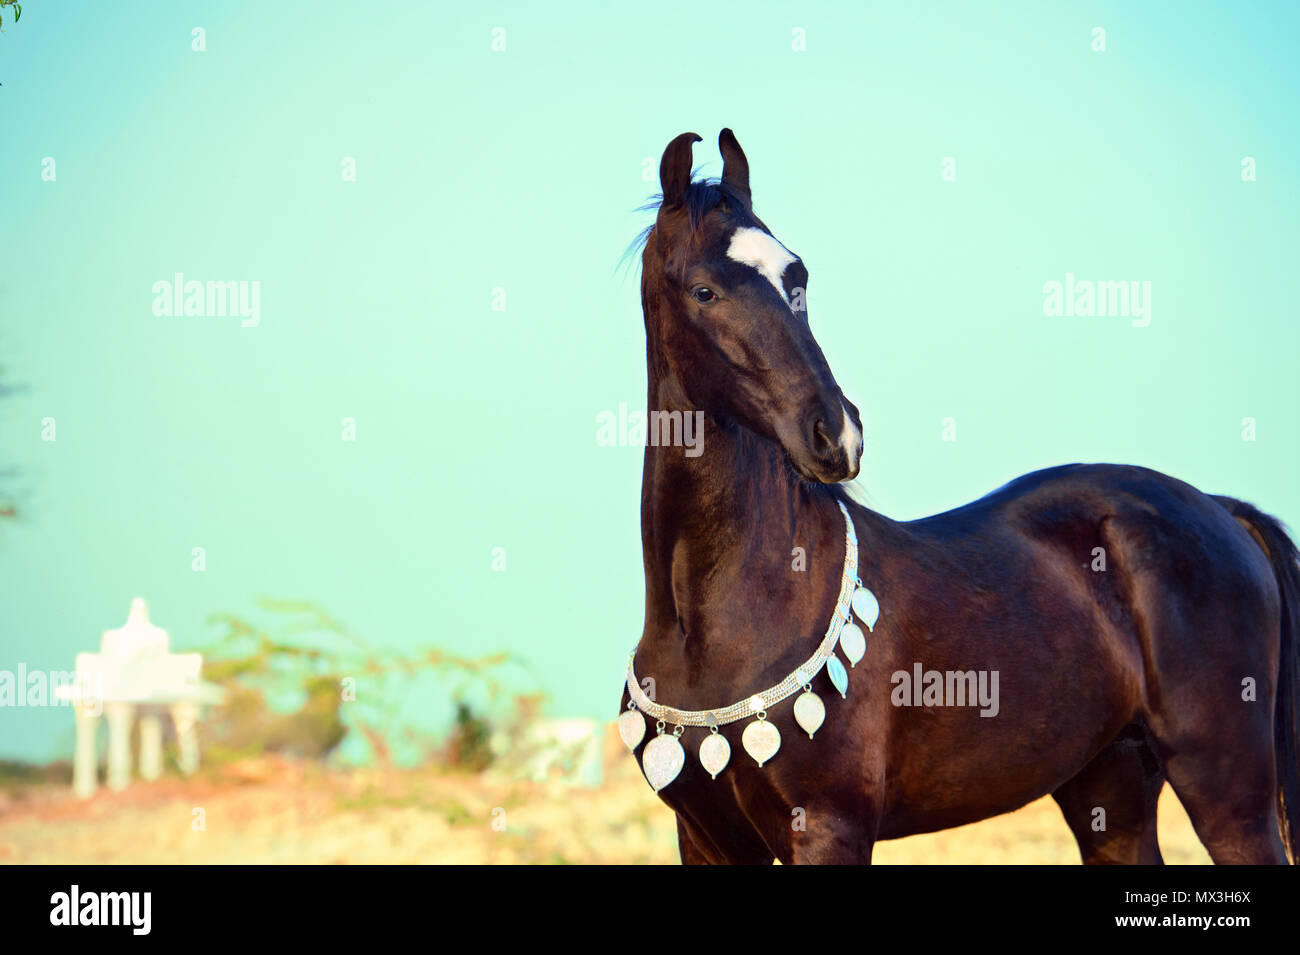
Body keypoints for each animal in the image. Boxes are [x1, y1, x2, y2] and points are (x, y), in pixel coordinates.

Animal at [619, 129, 1300, 865]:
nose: (836, 432)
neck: (715, 625)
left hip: (1228, 794)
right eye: (704, 290)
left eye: (796, 277)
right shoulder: (708, 838)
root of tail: (1220, 509)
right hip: (1110, 787)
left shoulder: (829, 826)